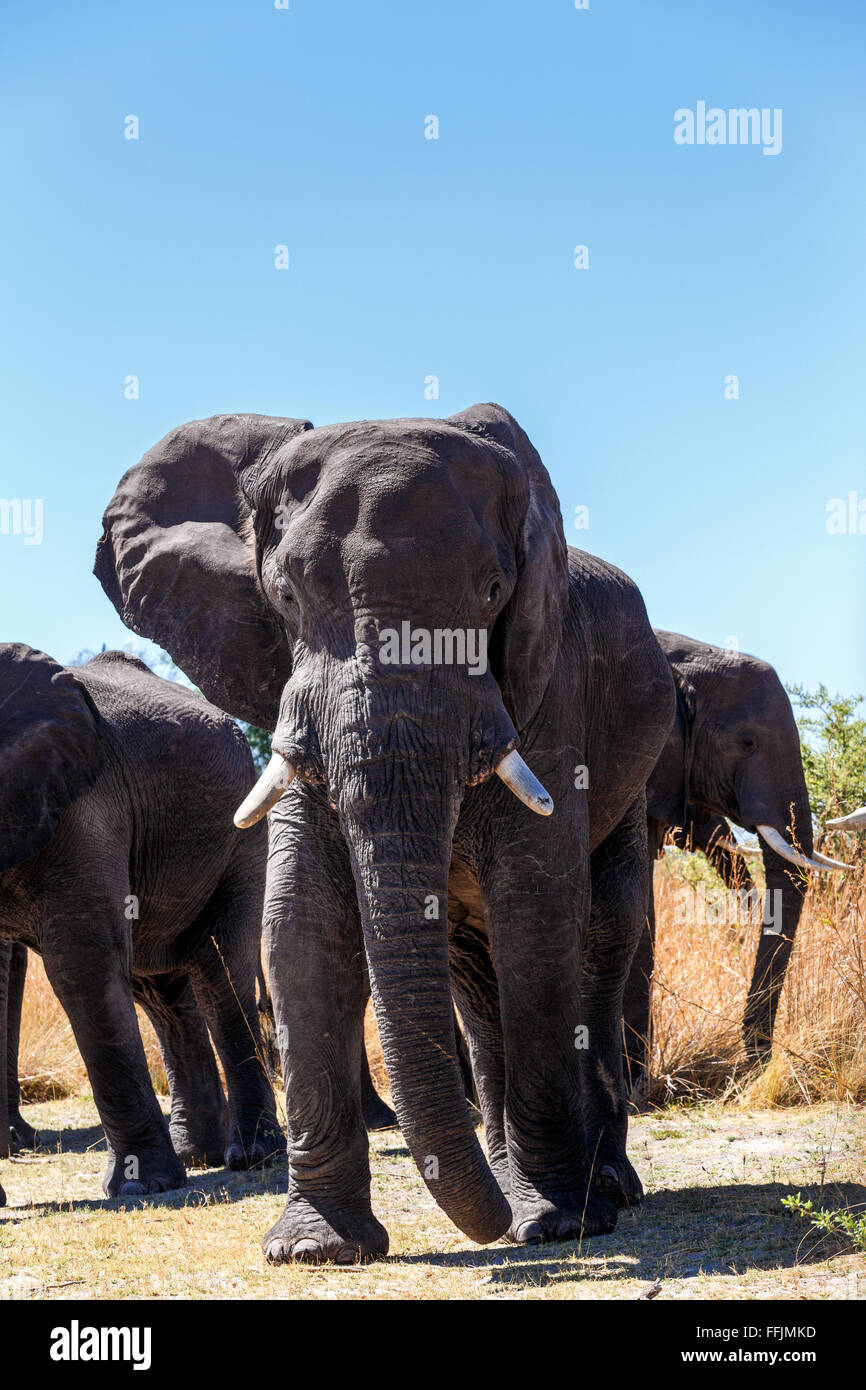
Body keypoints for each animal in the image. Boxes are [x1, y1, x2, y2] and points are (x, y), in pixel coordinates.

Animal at [0, 643, 283, 1200]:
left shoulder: (82, 808)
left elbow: (81, 966)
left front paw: (138, 1189)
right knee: (160, 989)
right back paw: (198, 1157)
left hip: (238, 836)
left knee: (220, 972)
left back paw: (252, 1156)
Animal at [95, 403, 676, 1261]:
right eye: (286, 596)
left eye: (494, 591)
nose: (496, 1231)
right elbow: (298, 923)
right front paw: (316, 1249)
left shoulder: (550, 684)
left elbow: (537, 914)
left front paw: (555, 1224)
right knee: (472, 966)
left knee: (602, 934)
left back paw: (597, 1192)